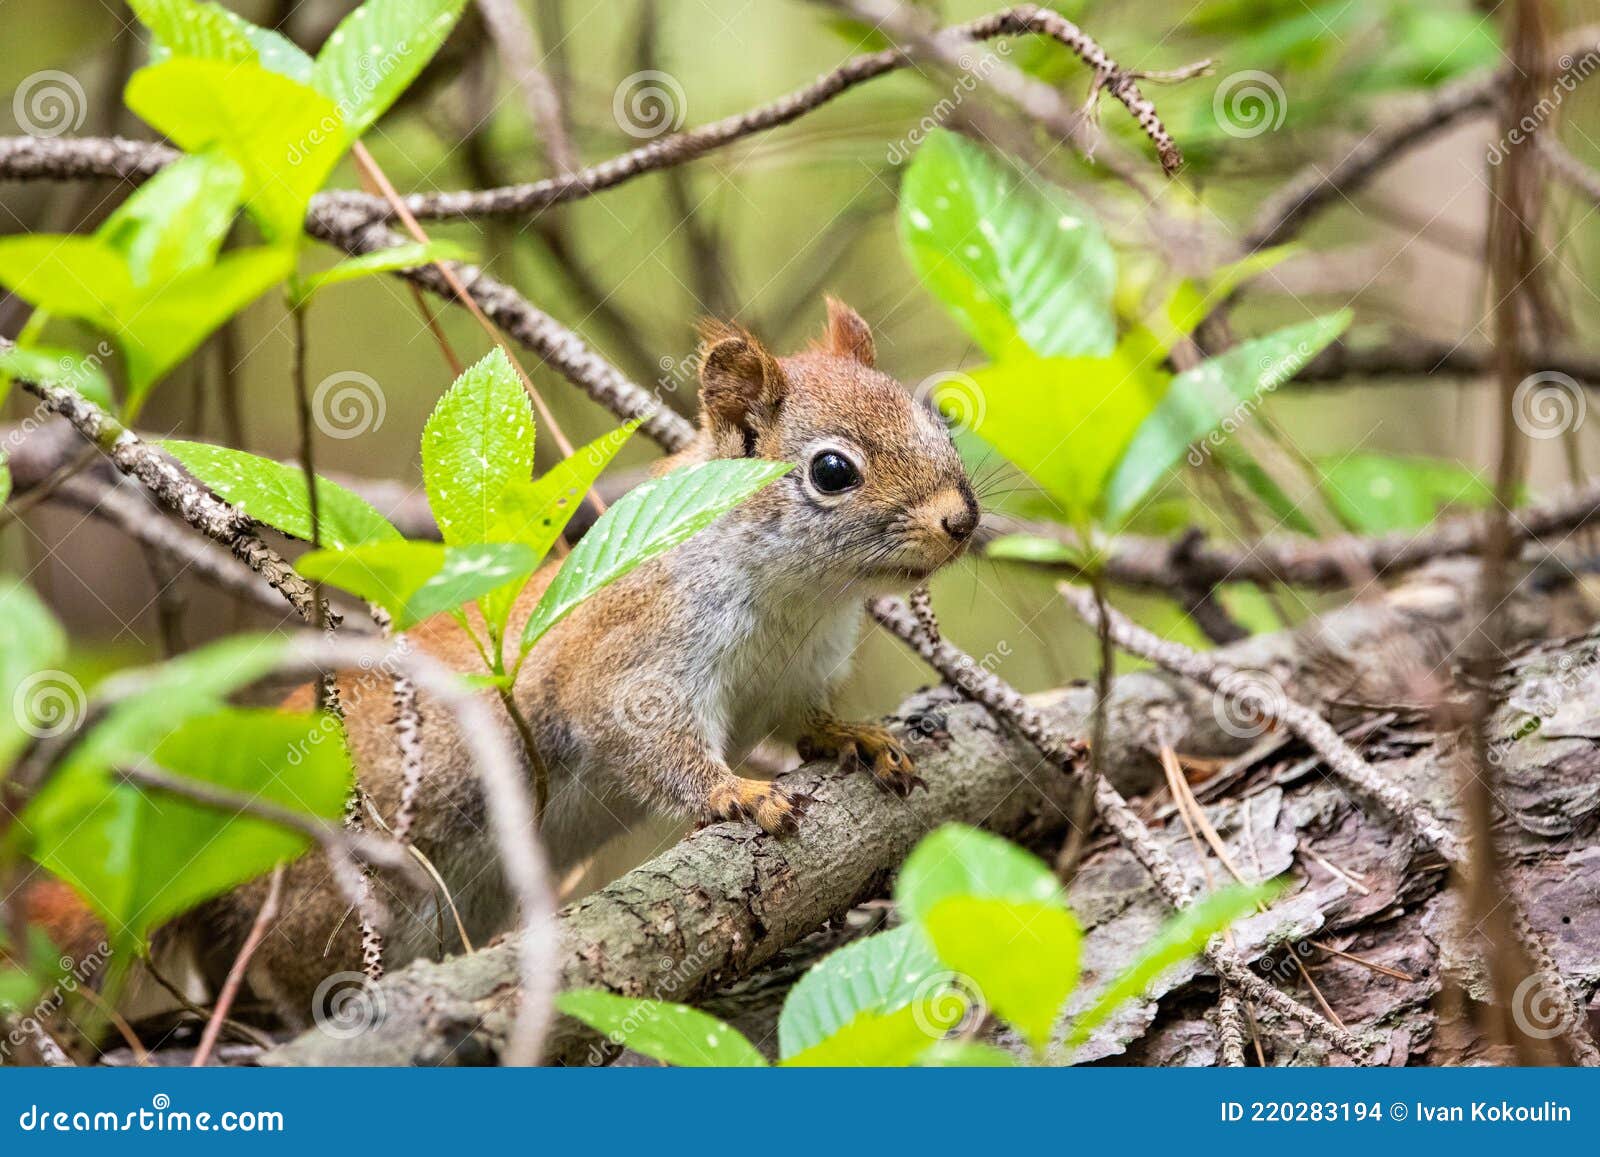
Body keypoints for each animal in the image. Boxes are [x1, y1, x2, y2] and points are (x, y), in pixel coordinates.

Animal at [35, 299, 981, 1030]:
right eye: (833, 470)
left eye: (937, 423)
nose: (961, 519)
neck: (801, 598)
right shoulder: (631, 657)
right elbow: (651, 742)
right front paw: (737, 793)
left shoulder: (794, 674)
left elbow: (804, 720)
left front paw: (858, 738)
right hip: (343, 906)